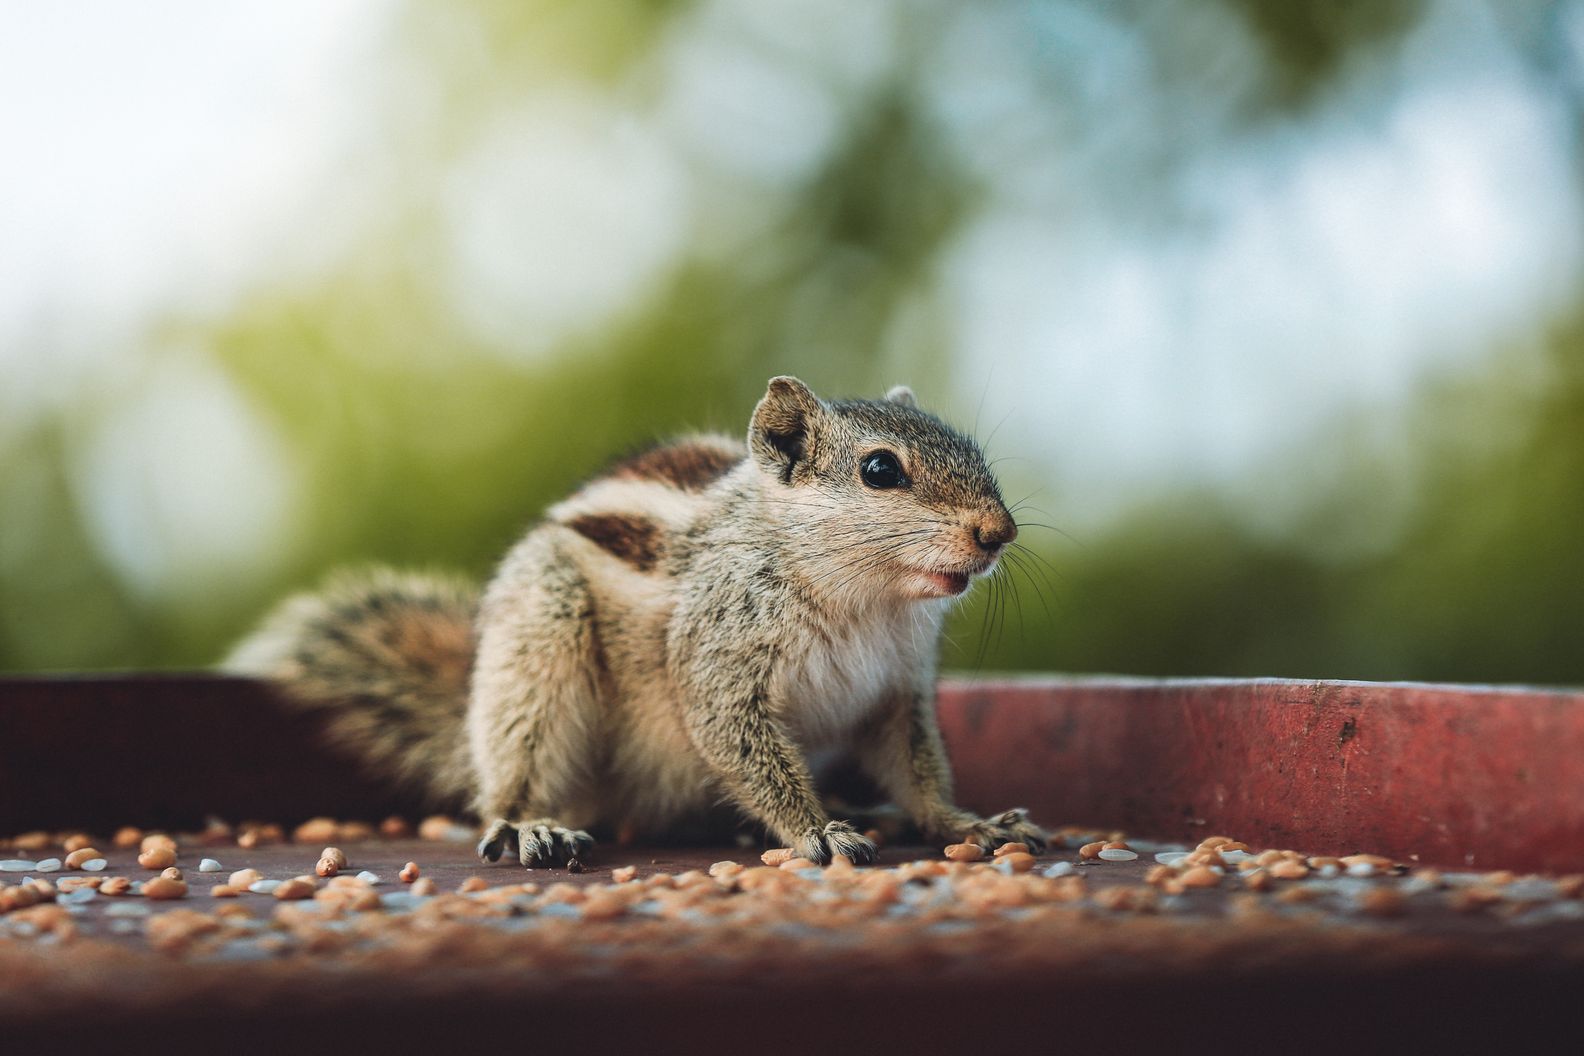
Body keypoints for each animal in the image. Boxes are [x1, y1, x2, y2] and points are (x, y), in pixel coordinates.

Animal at [226, 376, 1046, 866]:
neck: (866, 597)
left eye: (971, 449)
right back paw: (528, 823)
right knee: (514, 774)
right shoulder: (718, 653)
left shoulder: (895, 690)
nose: (999, 532)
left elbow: (917, 767)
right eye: (880, 470)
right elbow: (742, 743)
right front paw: (814, 829)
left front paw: (965, 823)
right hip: (540, 642)